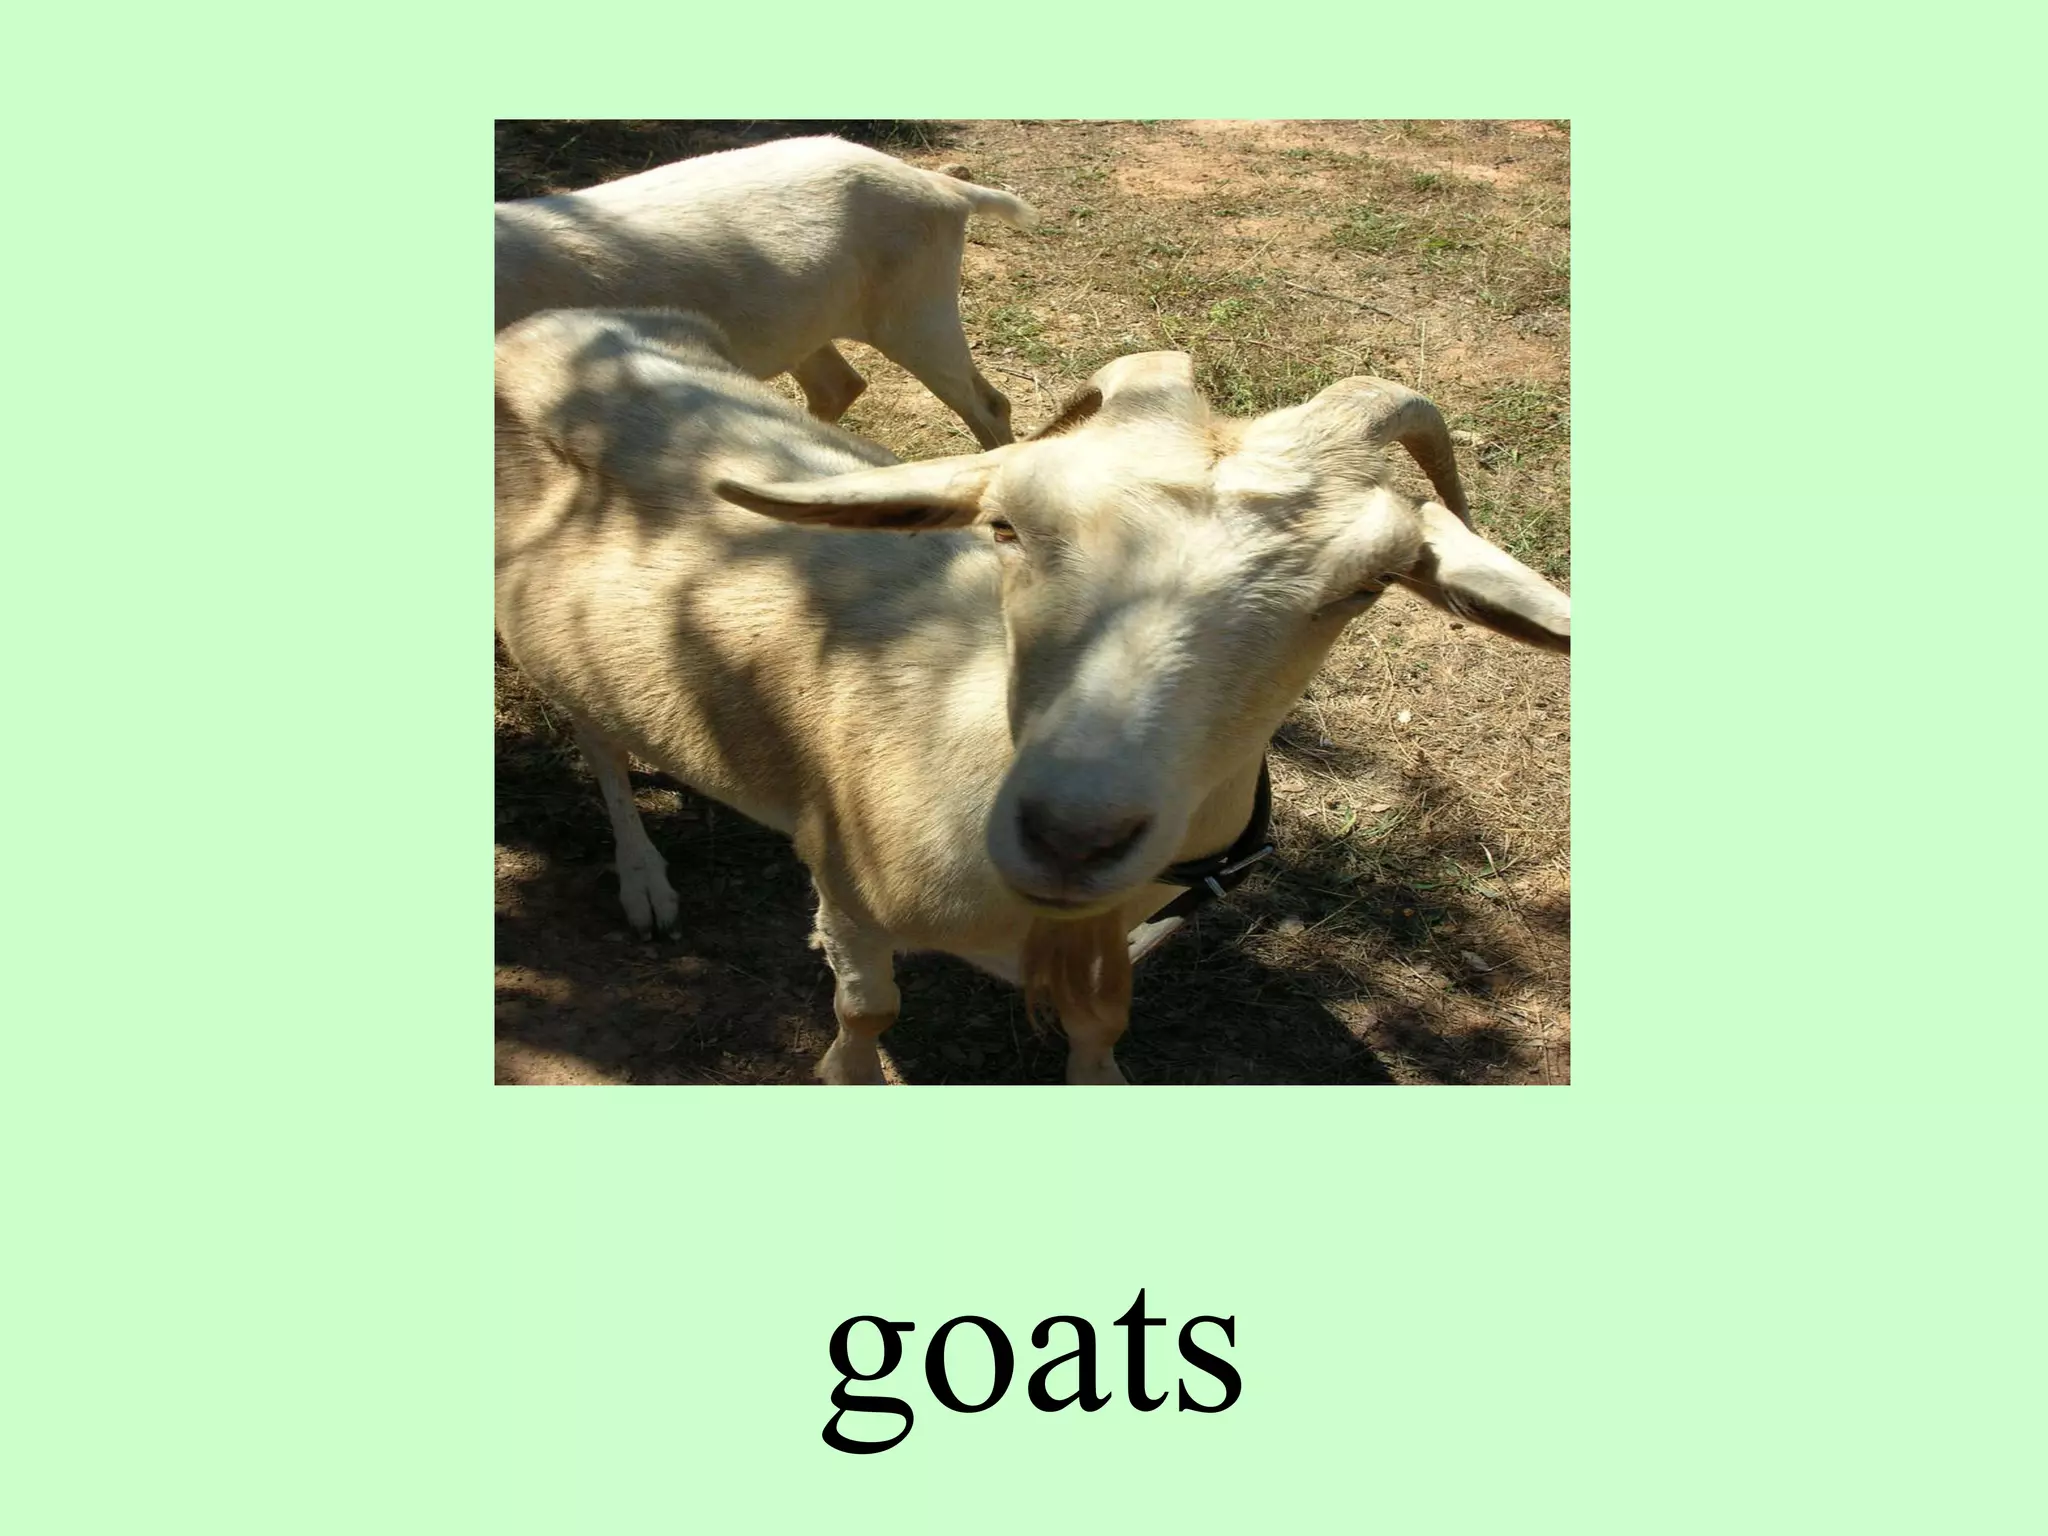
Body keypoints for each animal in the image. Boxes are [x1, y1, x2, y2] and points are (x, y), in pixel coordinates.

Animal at [494, 308, 1571, 1085]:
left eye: (1367, 584)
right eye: (1006, 525)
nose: (1070, 836)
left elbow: (1099, 1030)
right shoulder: (851, 887)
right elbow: (866, 1009)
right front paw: (844, 1068)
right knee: (599, 744)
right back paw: (643, 879)